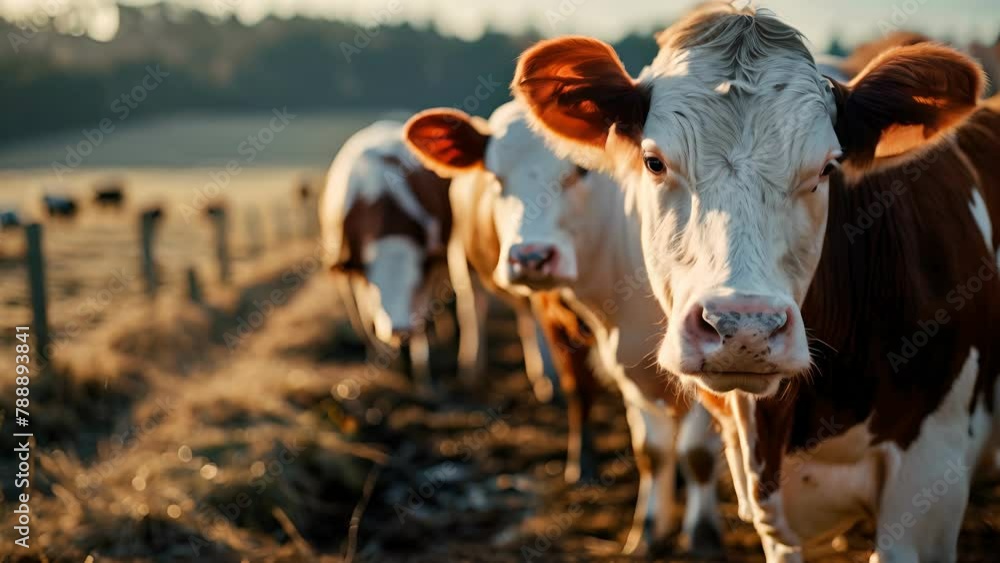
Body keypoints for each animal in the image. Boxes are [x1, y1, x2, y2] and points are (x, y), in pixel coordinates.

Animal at [405, 101, 725, 555]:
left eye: (580, 169)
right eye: (496, 177)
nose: (530, 257)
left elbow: (697, 451)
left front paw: (702, 536)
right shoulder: (602, 344)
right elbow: (646, 446)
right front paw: (644, 529)